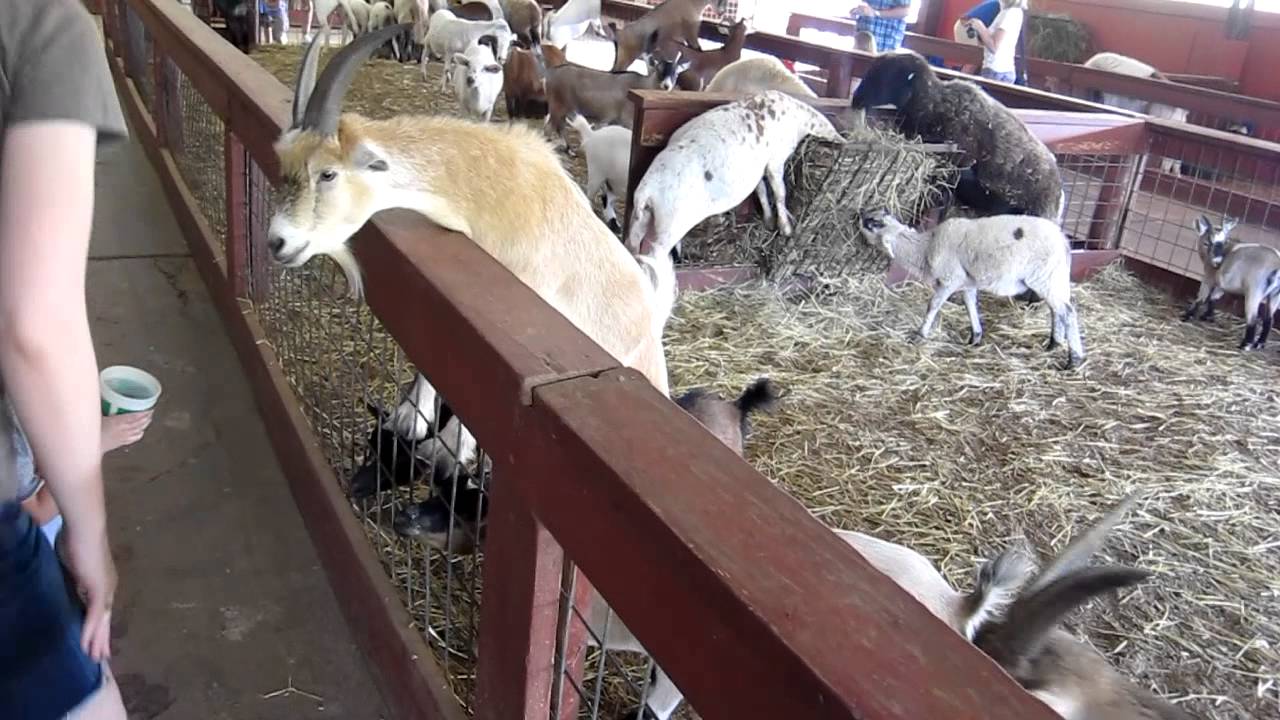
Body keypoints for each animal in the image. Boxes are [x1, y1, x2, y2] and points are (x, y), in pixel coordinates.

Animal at [544, 51, 691, 149]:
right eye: (659, 70)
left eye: (677, 73)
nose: (666, 86)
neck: (642, 85)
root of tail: (550, 76)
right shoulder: (628, 120)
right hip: (558, 104)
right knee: (551, 127)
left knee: (559, 126)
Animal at [627, 91, 843, 263]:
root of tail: (647, 191)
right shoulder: (776, 159)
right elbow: (779, 192)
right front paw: (786, 228)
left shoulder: (760, 169)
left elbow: (762, 191)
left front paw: (768, 219)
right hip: (670, 226)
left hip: (640, 220)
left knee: (632, 246)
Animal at [858, 209, 1086, 369]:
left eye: (875, 224)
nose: (860, 213)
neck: (924, 248)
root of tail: (1064, 241)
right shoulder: (968, 282)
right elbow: (970, 304)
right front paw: (975, 336)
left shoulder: (950, 279)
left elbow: (933, 305)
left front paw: (919, 335)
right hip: (1053, 277)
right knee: (1057, 309)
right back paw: (1053, 344)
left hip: (1044, 276)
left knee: (1068, 311)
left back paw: (1073, 360)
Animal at [1182, 215, 1280, 350]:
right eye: (1207, 243)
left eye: (1224, 242)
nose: (1218, 261)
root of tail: (1276, 263)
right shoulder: (1222, 283)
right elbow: (1214, 297)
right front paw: (1207, 316)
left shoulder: (1209, 276)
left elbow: (1202, 297)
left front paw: (1187, 315)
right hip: (1275, 295)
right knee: (1269, 319)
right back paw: (1260, 343)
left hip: (1254, 291)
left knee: (1253, 319)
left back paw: (1246, 345)